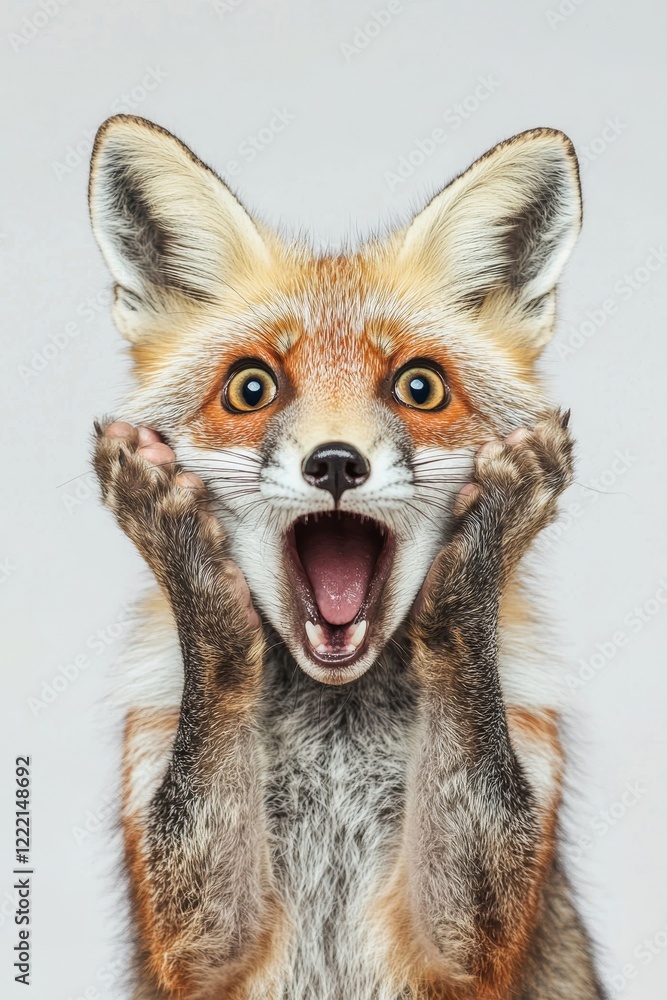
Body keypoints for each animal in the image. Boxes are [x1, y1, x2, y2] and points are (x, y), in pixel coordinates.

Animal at [88, 115, 607, 999]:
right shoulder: (194, 936)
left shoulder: (470, 935)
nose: (334, 464)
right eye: (251, 388)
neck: (338, 723)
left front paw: (493, 531)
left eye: (419, 387)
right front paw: (179, 547)